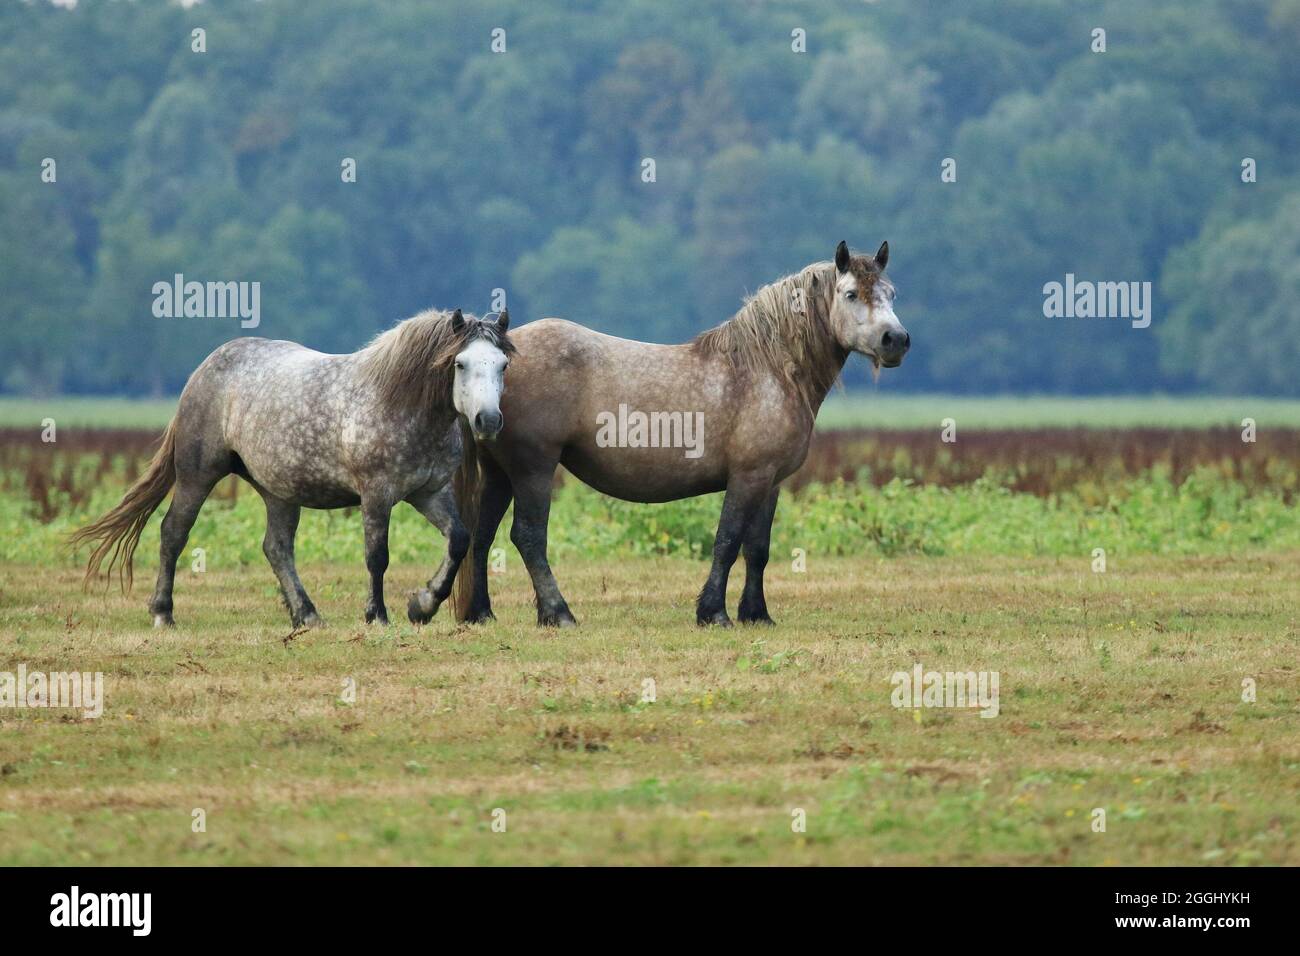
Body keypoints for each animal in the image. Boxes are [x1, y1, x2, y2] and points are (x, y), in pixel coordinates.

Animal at [72, 308, 514, 629]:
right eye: (460, 363)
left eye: (503, 365)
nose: (488, 420)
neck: (400, 402)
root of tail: (206, 367)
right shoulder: (376, 494)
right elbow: (377, 556)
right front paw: (377, 615)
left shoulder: (429, 492)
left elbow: (458, 540)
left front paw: (422, 605)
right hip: (197, 476)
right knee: (173, 534)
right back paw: (163, 613)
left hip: (278, 491)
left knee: (276, 548)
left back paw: (306, 614)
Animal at [452, 240, 909, 627]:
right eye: (851, 294)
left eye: (890, 293)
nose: (897, 340)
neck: (768, 369)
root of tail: (498, 357)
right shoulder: (748, 477)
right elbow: (727, 541)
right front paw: (714, 613)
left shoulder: (770, 482)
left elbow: (757, 549)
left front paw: (756, 614)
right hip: (533, 469)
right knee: (528, 537)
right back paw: (558, 613)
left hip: (501, 473)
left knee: (483, 535)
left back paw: (481, 613)